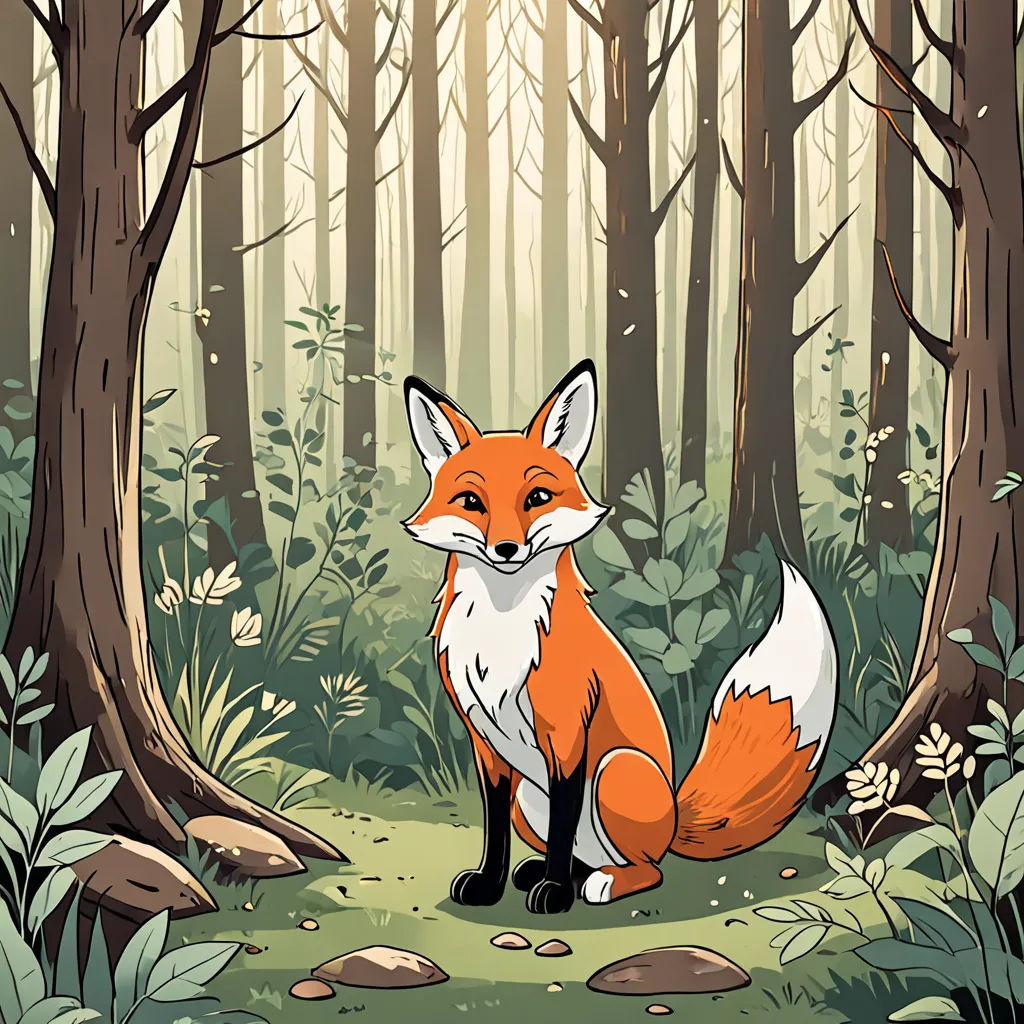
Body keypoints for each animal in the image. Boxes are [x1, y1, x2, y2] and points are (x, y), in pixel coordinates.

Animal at [402, 359, 838, 913]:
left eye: (537, 498)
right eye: (471, 502)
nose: (506, 548)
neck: (501, 633)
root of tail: (676, 817)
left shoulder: (566, 738)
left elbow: (563, 824)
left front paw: (555, 894)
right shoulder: (486, 745)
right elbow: (495, 828)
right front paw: (489, 883)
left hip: (614, 771)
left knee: (646, 869)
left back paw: (595, 884)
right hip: (529, 796)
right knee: (583, 854)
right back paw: (546, 872)